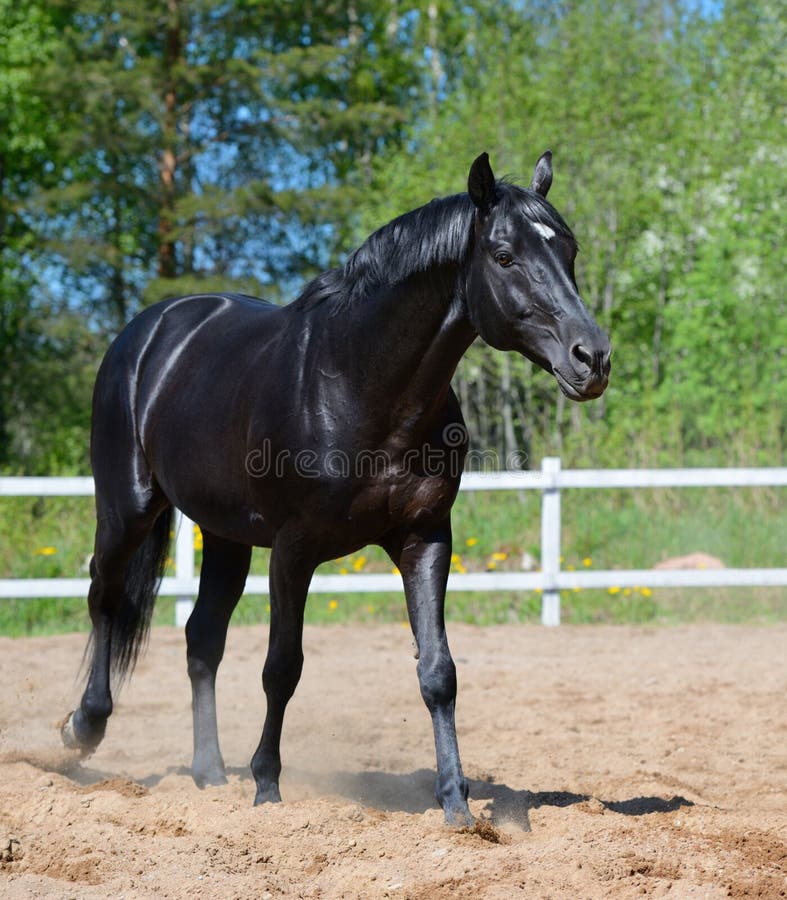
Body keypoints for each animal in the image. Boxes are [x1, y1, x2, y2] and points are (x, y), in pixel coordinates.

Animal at [61, 151, 610, 826]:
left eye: (569, 251)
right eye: (505, 256)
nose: (592, 358)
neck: (357, 382)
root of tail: (147, 332)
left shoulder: (425, 539)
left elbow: (438, 670)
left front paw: (456, 804)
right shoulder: (294, 550)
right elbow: (282, 667)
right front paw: (267, 786)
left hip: (224, 535)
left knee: (202, 637)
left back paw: (209, 773)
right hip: (128, 509)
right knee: (106, 598)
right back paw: (84, 729)